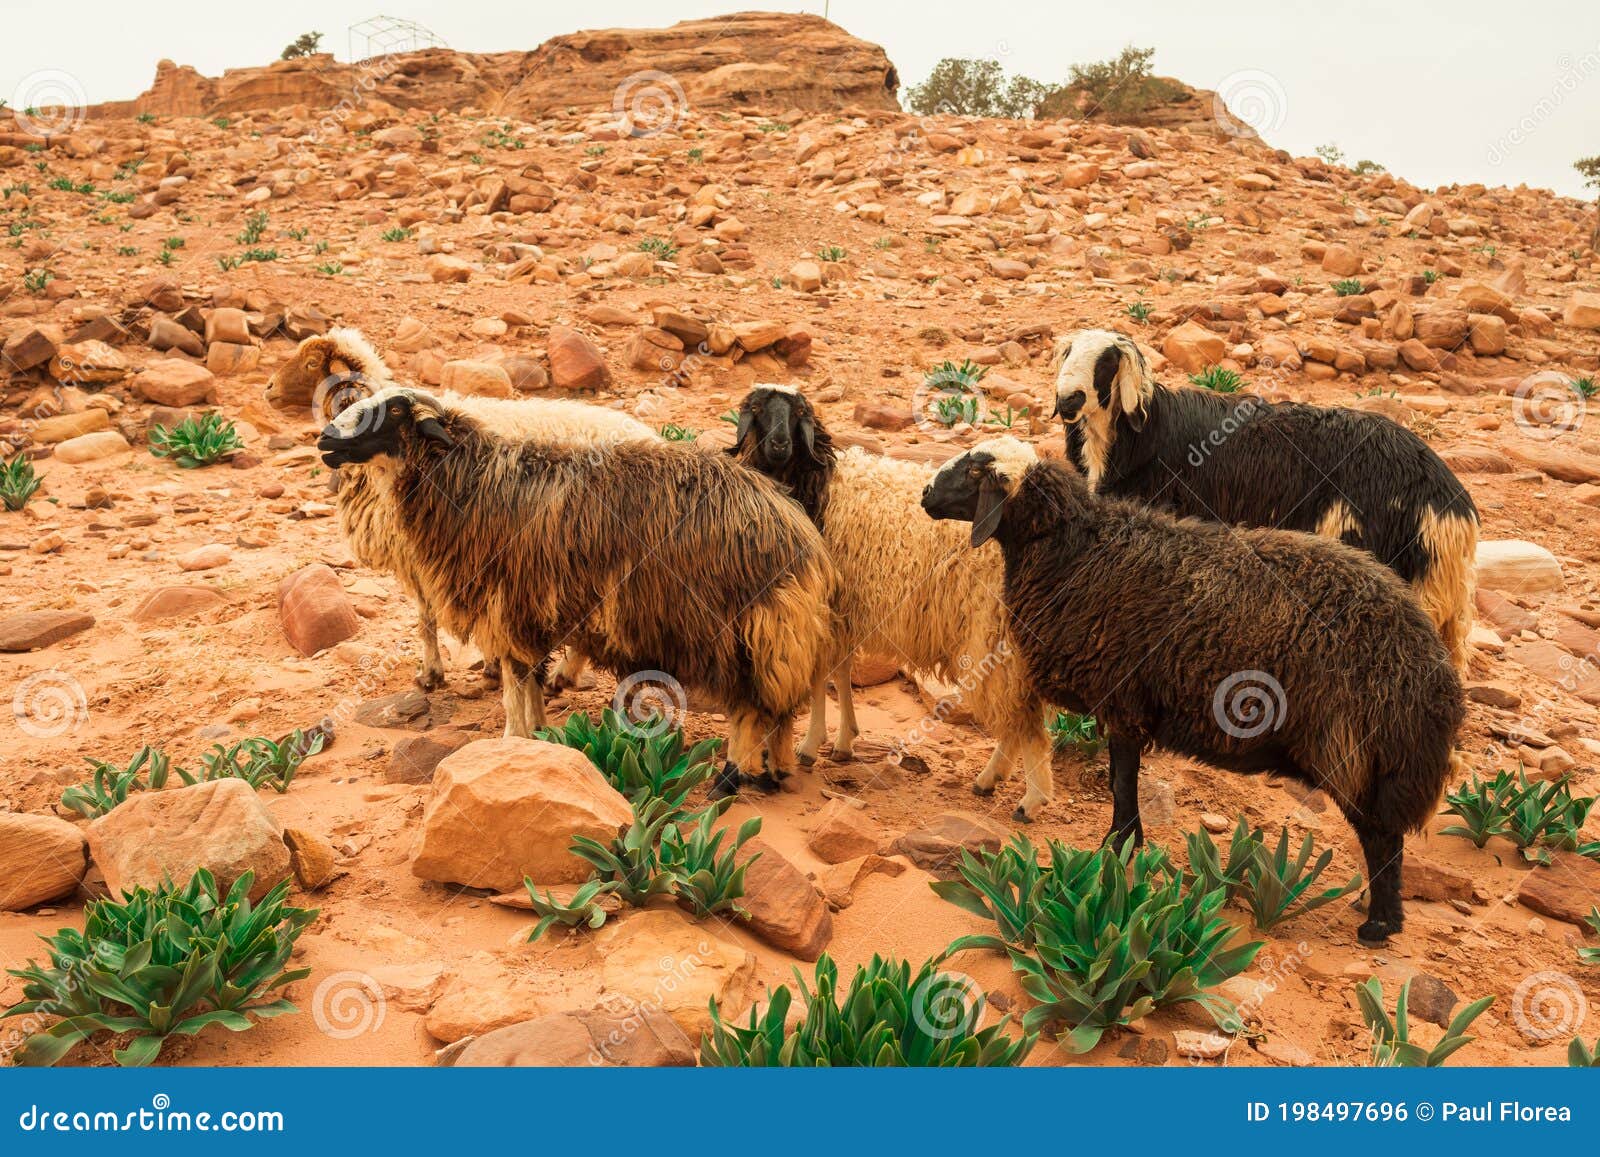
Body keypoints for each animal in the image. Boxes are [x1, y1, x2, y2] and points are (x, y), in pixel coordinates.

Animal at [265, 330, 654, 712]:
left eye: (311, 363)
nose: (268, 389)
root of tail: (650, 435)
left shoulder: (424, 557)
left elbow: (426, 620)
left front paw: (432, 675)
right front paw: (490, 668)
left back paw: (562, 676)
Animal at [316, 387, 837, 794]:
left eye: (394, 410)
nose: (324, 439)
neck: (469, 481)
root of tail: (794, 526)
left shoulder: (507, 606)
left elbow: (513, 689)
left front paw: (512, 740)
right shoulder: (527, 613)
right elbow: (528, 681)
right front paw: (540, 734)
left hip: (739, 626)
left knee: (750, 707)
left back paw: (731, 777)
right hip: (772, 634)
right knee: (778, 710)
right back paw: (773, 772)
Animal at [730, 384, 1053, 813]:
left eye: (799, 412)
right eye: (757, 408)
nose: (780, 444)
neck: (816, 485)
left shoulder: (823, 607)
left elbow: (819, 679)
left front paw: (811, 745)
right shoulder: (842, 611)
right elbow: (840, 674)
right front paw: (844, 740)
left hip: (995, 636)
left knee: (1023, 719)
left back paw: (1028, 799)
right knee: (1019, 712)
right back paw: (992, 779)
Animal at [921, 438, 1466, 945]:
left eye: (975, 471)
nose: (926, 495)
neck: (1076, 552)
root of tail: (1430, 665)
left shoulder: (1123, 697)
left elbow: (1122, 781)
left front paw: (1116, 847)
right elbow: (1122, 779)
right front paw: (1126, 845)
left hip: (1357, 750)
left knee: (1381, 836)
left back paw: (1379, 923)